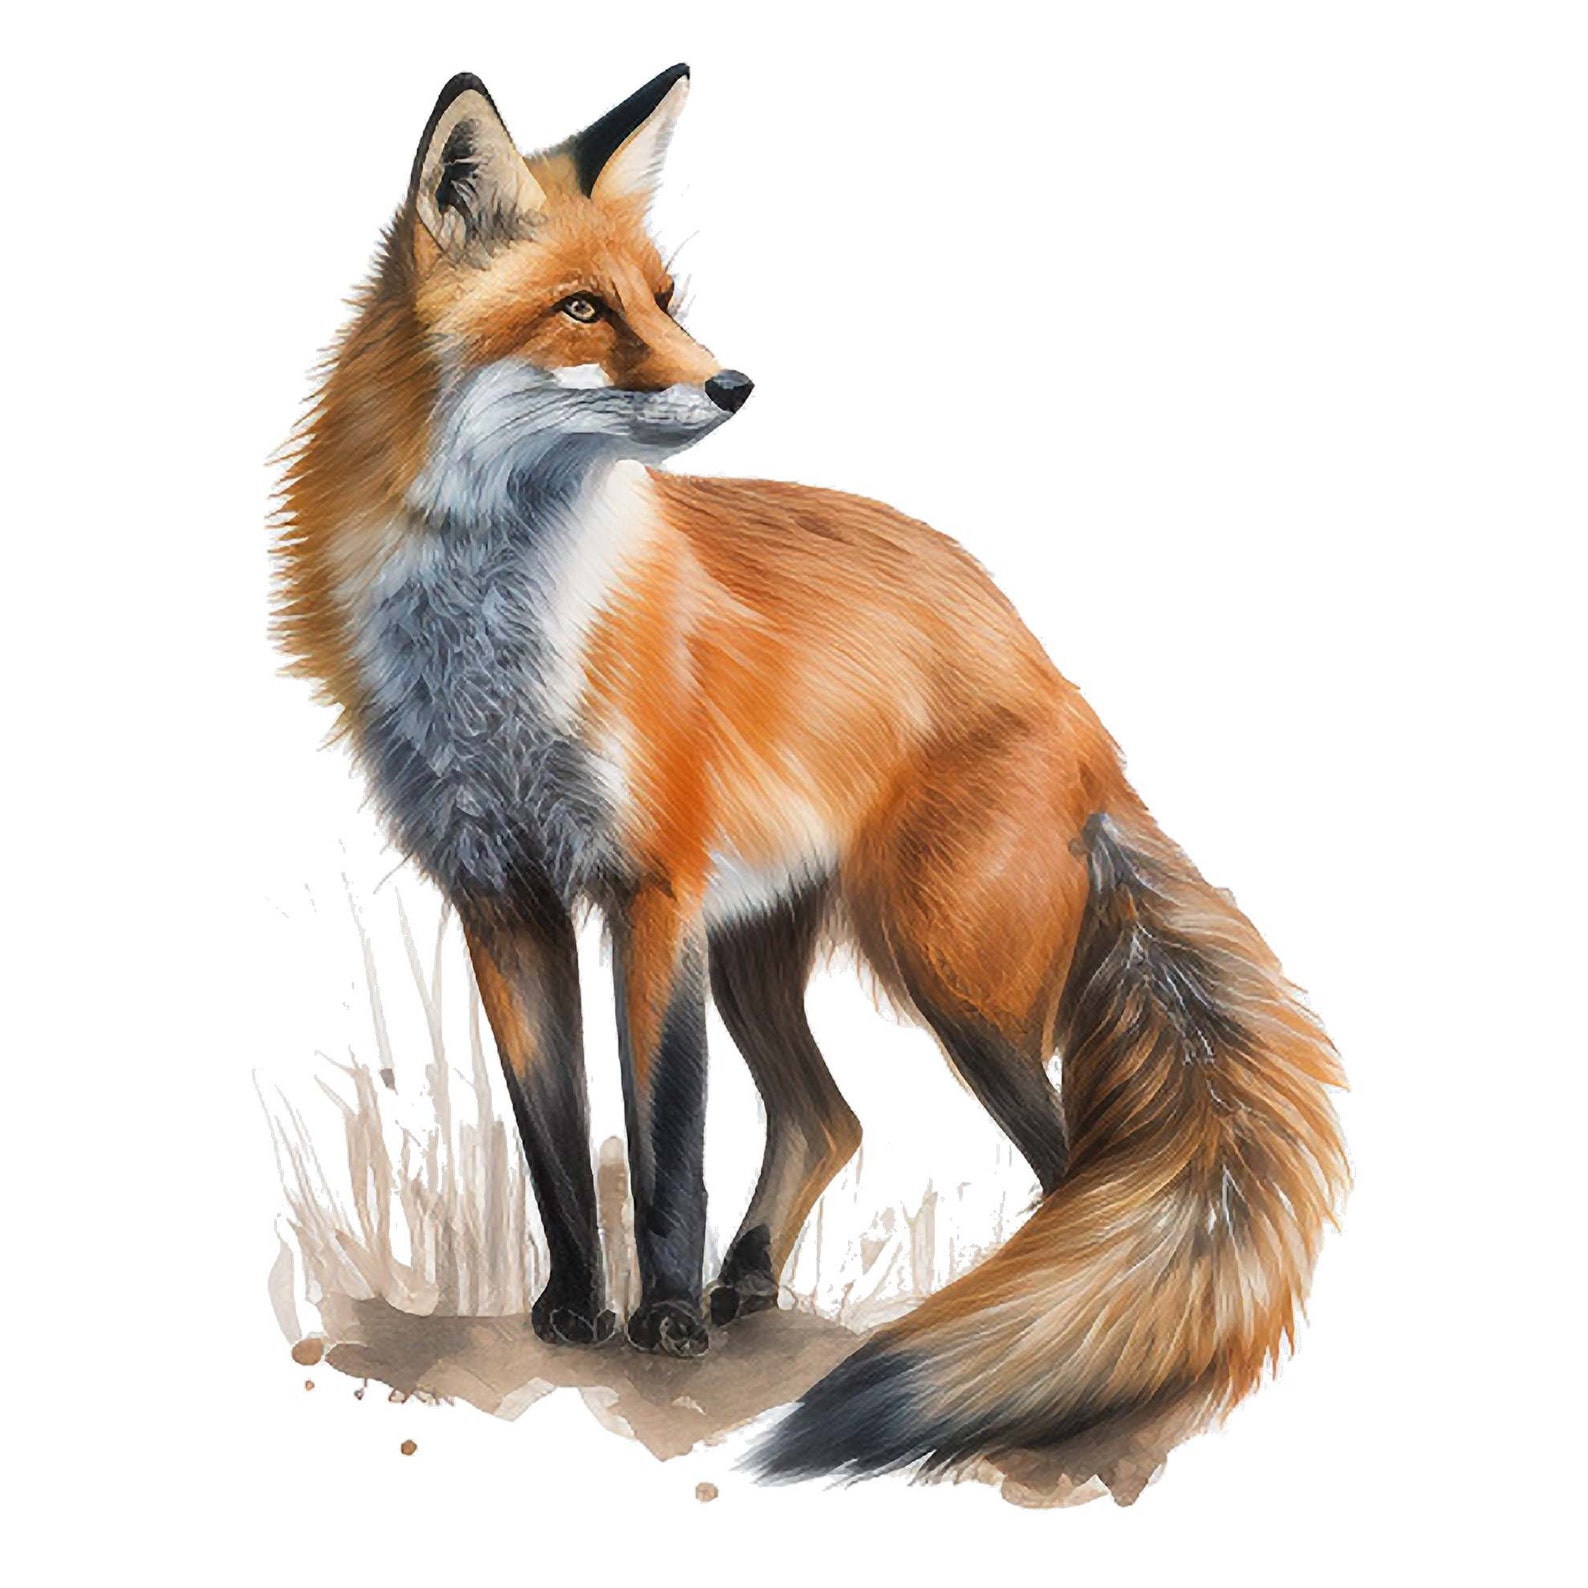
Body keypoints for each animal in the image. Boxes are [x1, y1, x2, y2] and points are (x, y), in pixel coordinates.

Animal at [274, 65, 1348, 1500]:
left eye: (666, 297)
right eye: (583, 309)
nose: (732, 381)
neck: (493, 643)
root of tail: (1070, 702)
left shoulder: (652, 891)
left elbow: (665, 1141)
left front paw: (664, 1320)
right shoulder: (502, 900)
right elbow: (556, 1140)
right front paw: (572, 1311)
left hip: (947, 972)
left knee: (1064, 1163)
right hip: (759, 953)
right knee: (828, 1118)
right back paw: (763, 1285)